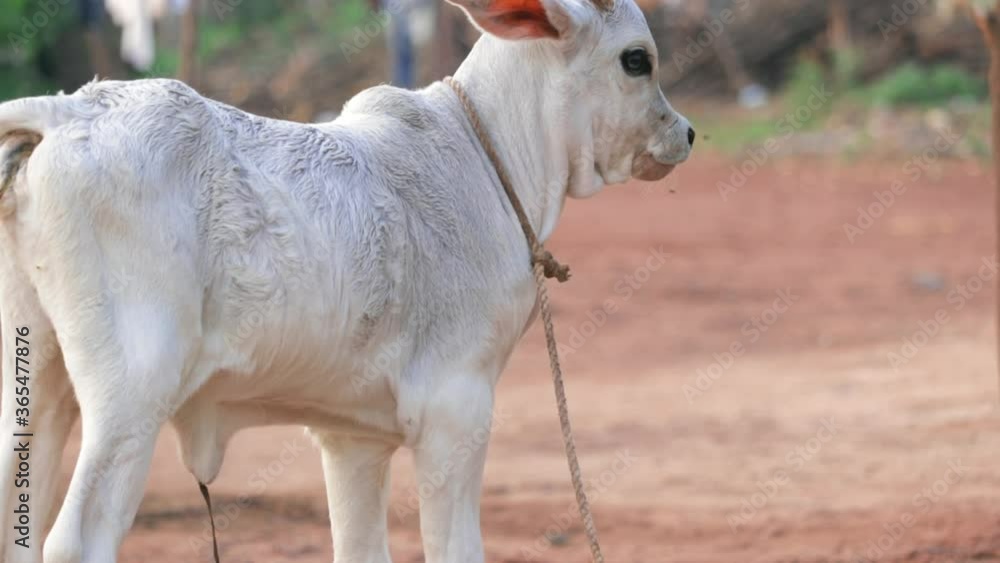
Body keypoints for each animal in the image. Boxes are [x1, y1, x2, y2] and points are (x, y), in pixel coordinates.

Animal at [0, 0, 693, 561]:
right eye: (637, 60)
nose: (685, 132)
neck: (487, 158)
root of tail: (66, 110)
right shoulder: (457, 410)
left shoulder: (350, 438)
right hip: (133, 392)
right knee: (74, 540)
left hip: (40, 383)